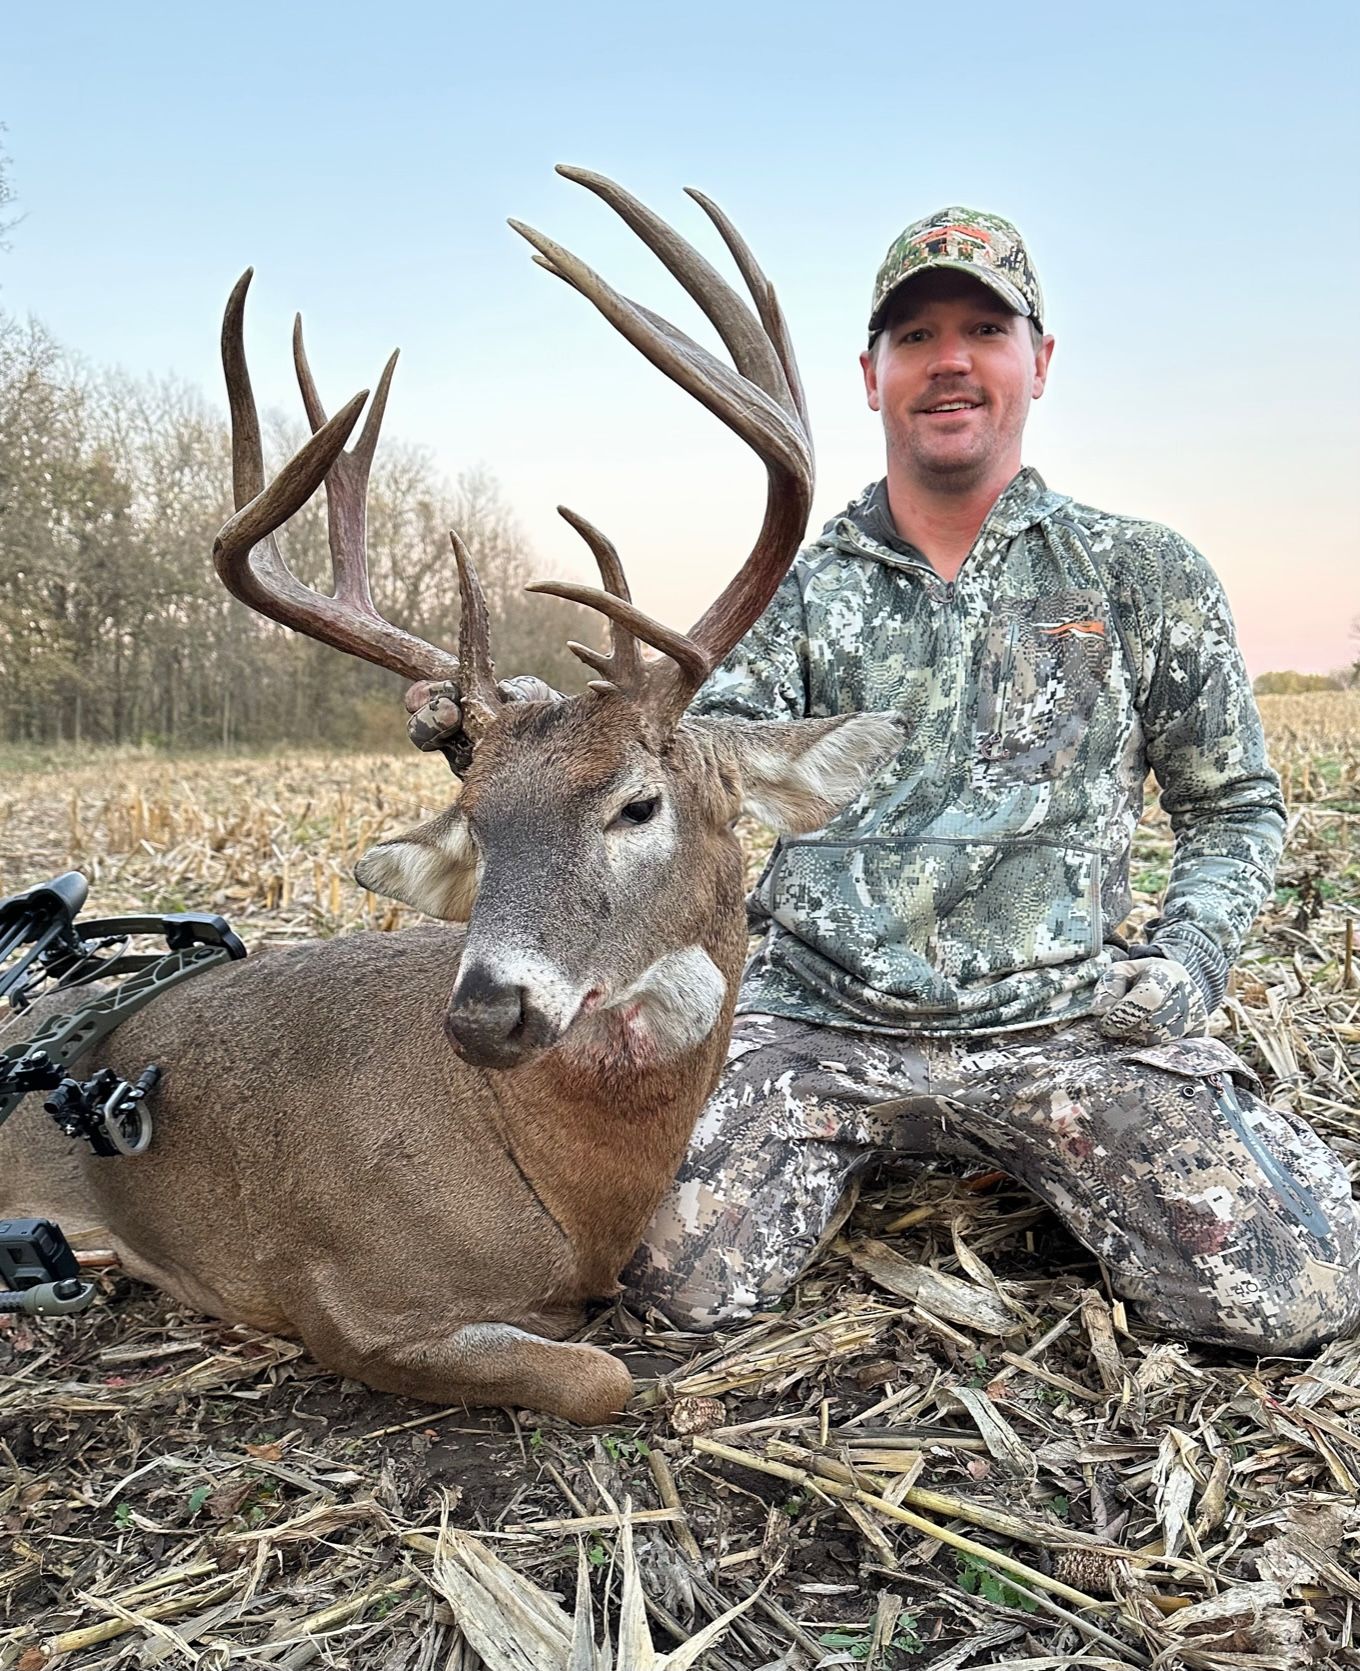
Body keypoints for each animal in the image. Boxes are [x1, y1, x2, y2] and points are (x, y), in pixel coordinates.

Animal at [0, 168, 904, 1424]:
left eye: (637, 804)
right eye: (477, 822)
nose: (485, 1013)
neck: (563, 1184)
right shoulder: (338, 1296)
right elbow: (601, 1376)